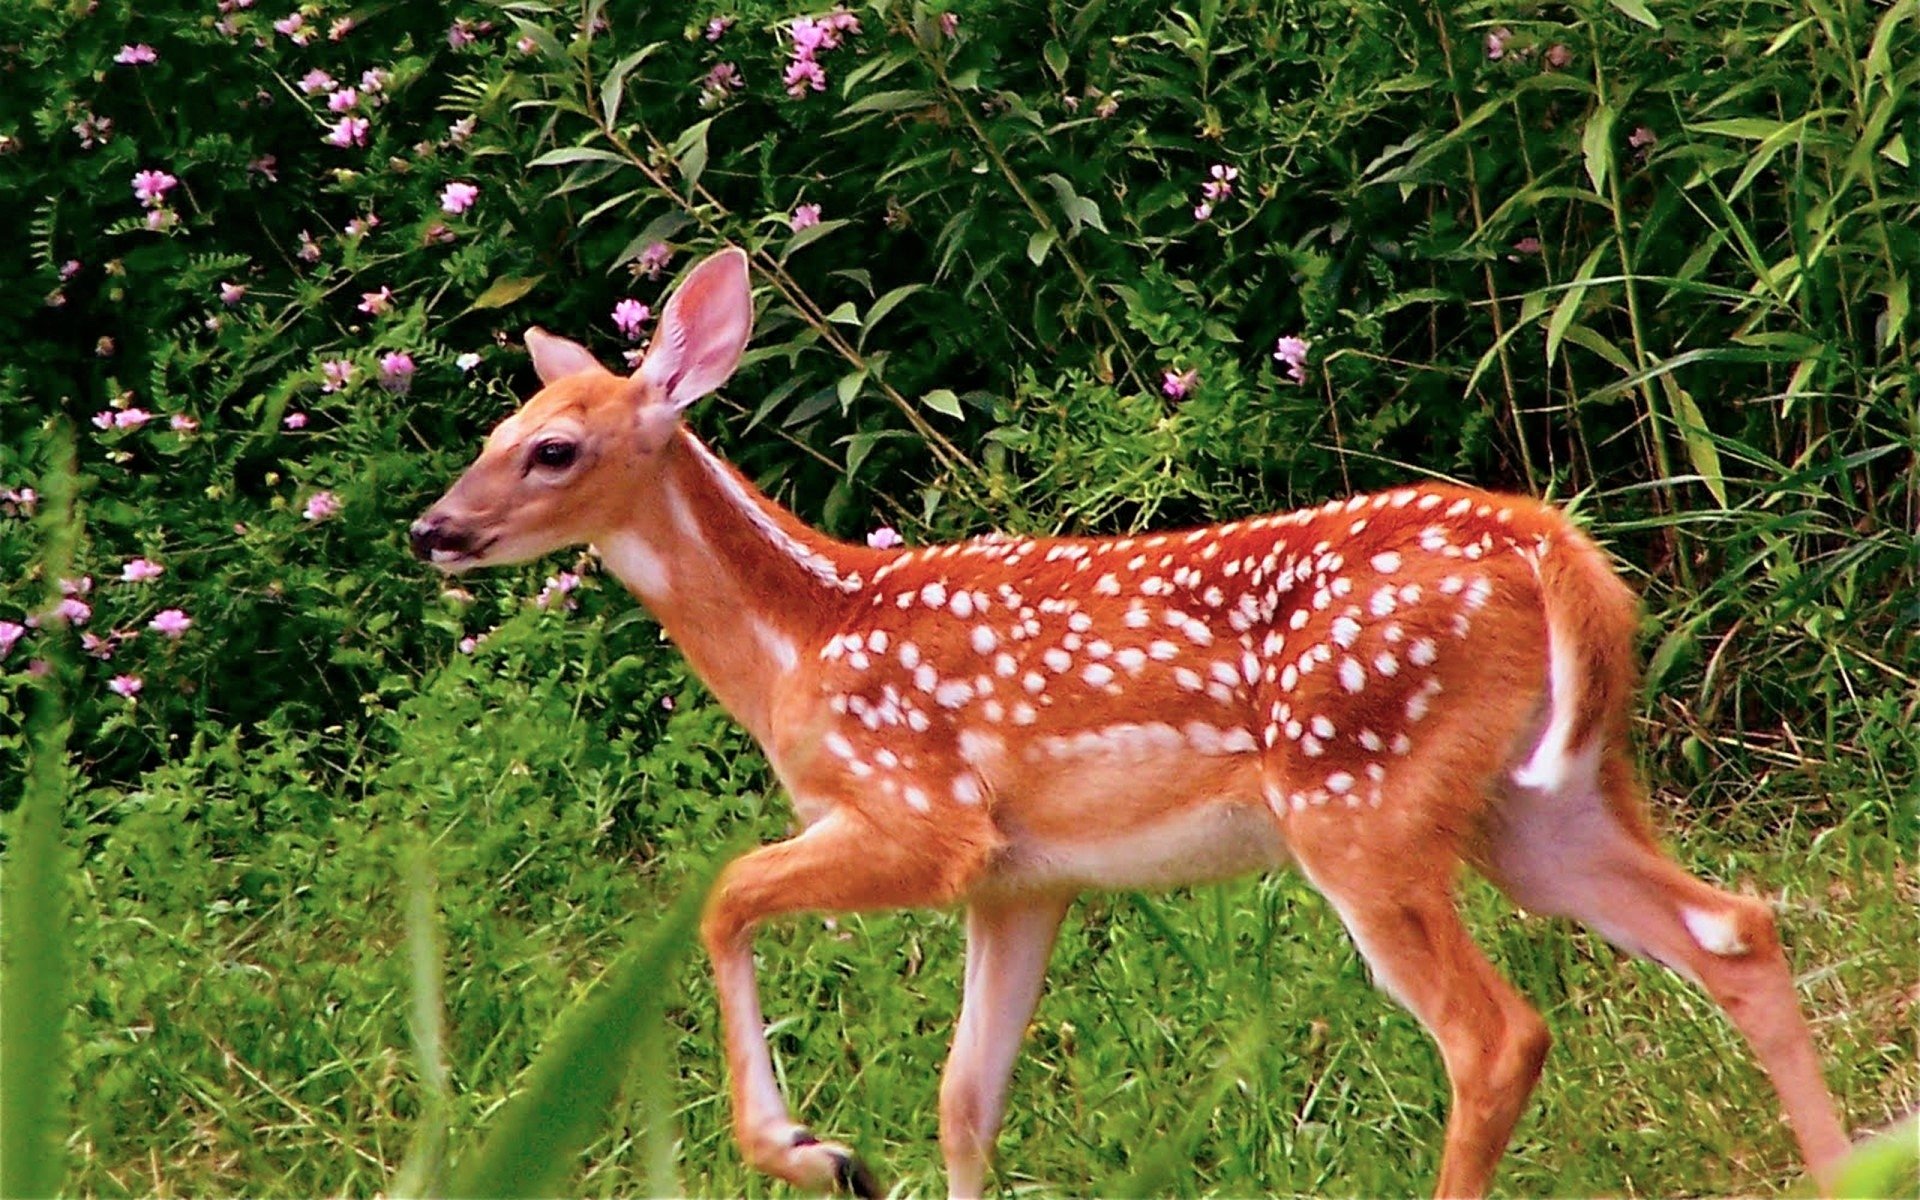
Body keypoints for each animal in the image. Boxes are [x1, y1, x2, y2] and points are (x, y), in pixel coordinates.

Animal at [409, 247, 1852, 1199]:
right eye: (493, 430)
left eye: (552, 448)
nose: (434, 529)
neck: (803, 642)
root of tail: (1553, 546)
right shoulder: (1020, 881)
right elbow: (965, 1100)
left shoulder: (924, 816)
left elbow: (720, 897)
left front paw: (809, 1151)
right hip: (1538, 796)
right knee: (1733, 927)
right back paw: (1846, 1167)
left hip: (1359, 794)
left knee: (1495, 1038)